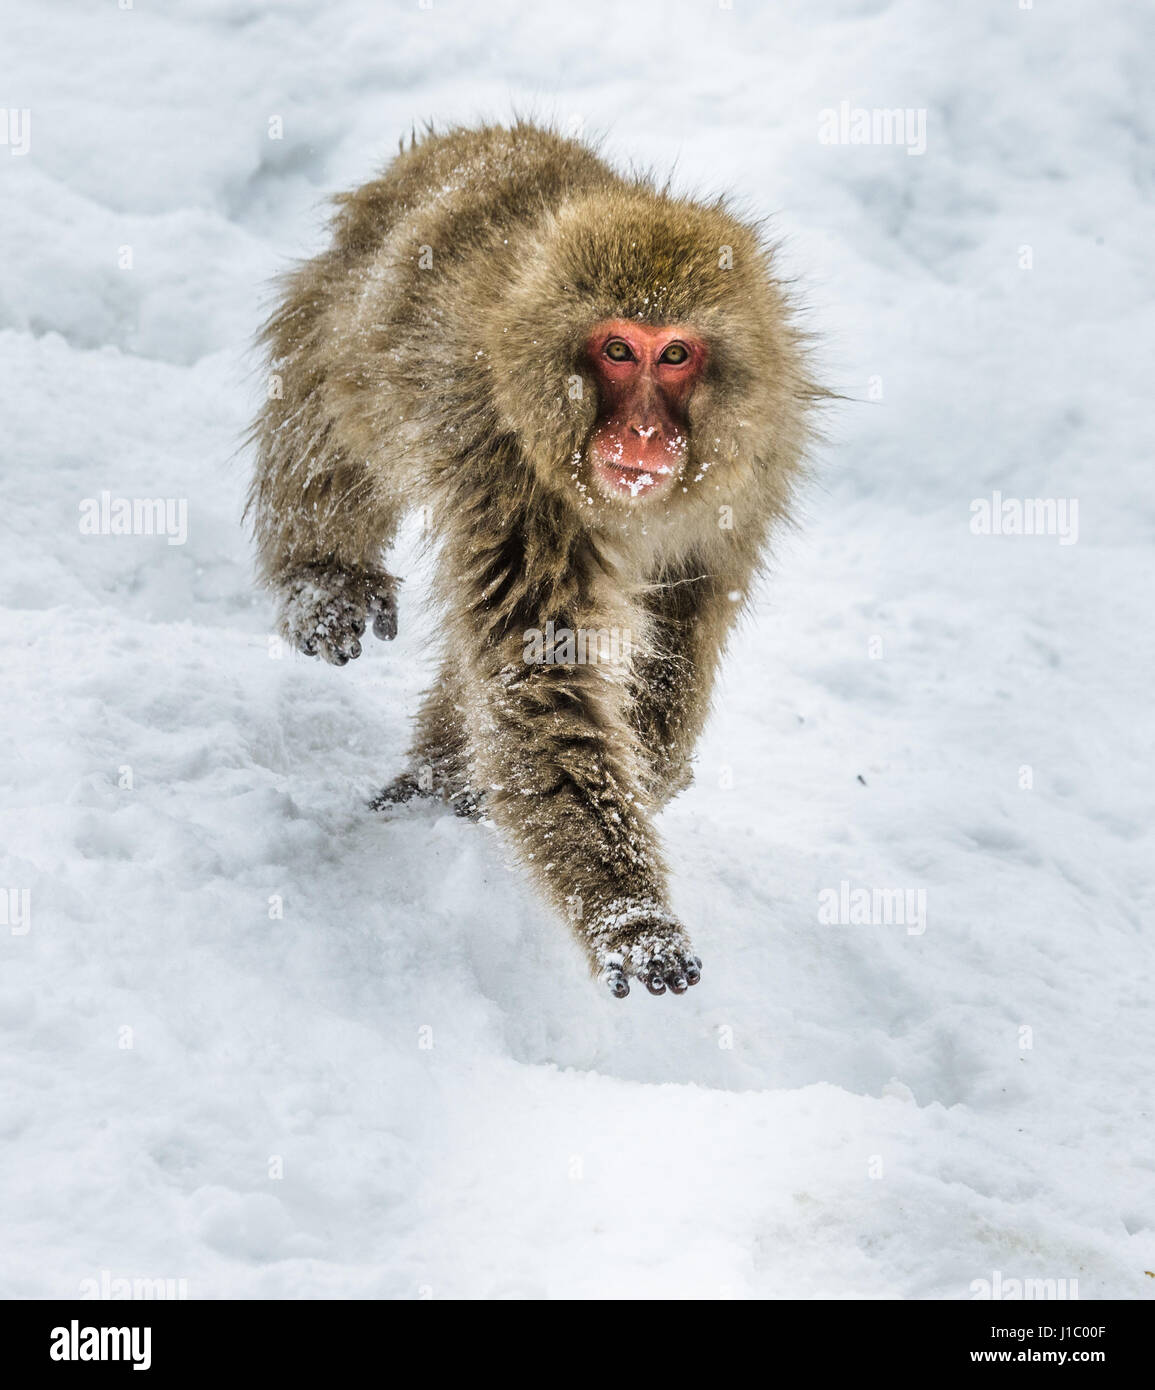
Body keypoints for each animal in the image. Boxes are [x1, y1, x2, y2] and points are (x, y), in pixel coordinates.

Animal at [248, 121, 822, 999]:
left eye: (675, 354)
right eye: (617, 349)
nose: (645, 435)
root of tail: (466, 140)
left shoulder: (742, 482)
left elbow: (675, 635)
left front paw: (646, 777)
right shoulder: (509, 479)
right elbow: (542, 687)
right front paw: (631, 921)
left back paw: (440, 786)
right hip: (347, 308)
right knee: (330, 421)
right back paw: (324, 579)